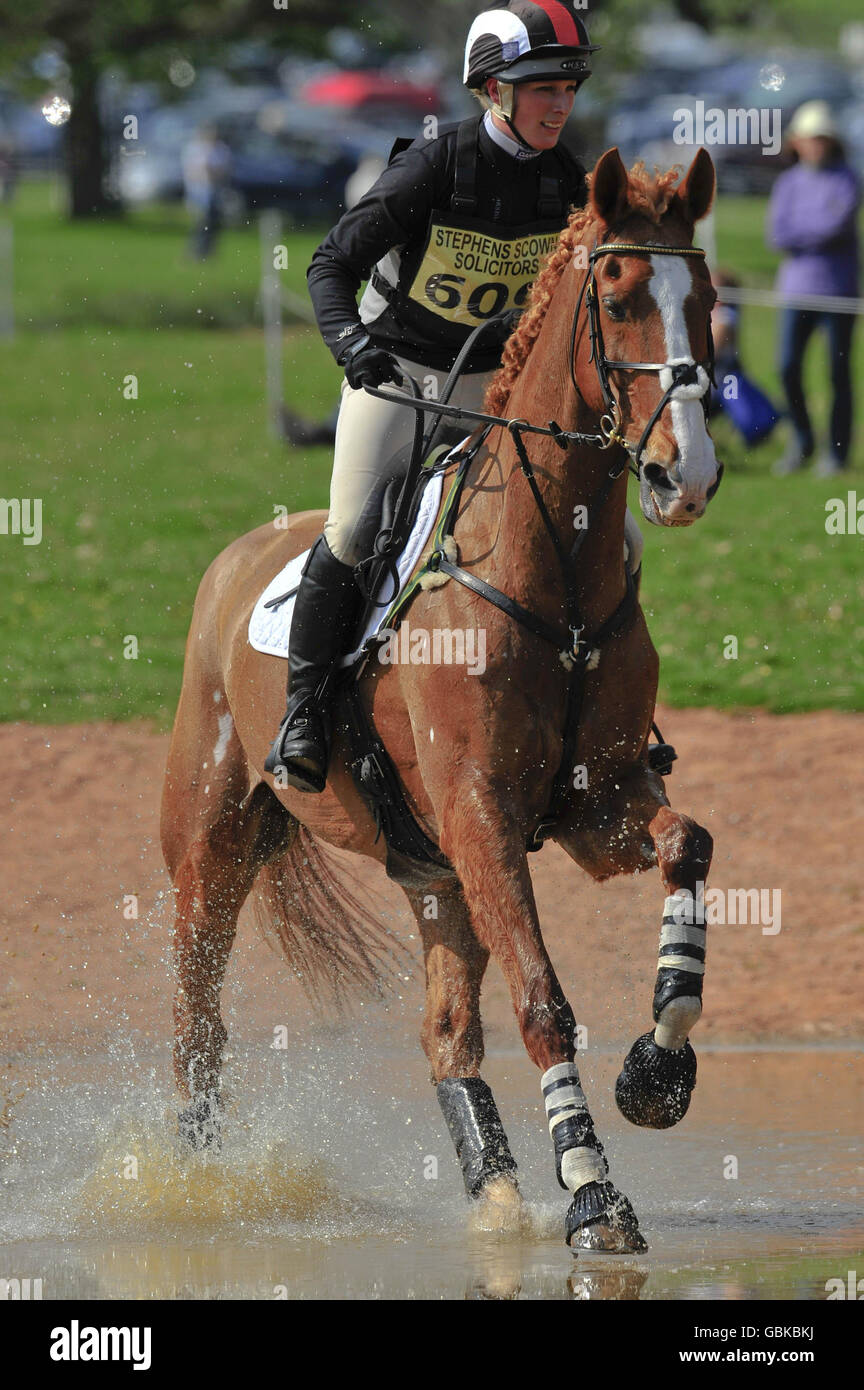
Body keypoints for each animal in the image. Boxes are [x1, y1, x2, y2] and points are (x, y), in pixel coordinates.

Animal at [160, 146, 721, 1254]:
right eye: (621, 297)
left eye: (710, 300)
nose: (689, 475)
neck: (554, 571)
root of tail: (238, 554)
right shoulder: (482, 812)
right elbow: (544, 1000)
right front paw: (595, 1195)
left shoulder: (594, 806)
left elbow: (688, 844)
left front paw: (659, 1069)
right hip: (213, 844)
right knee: (199, 1017)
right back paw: (192, 1182)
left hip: (431, 870)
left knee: (446, 1030)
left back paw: (496, 1190)